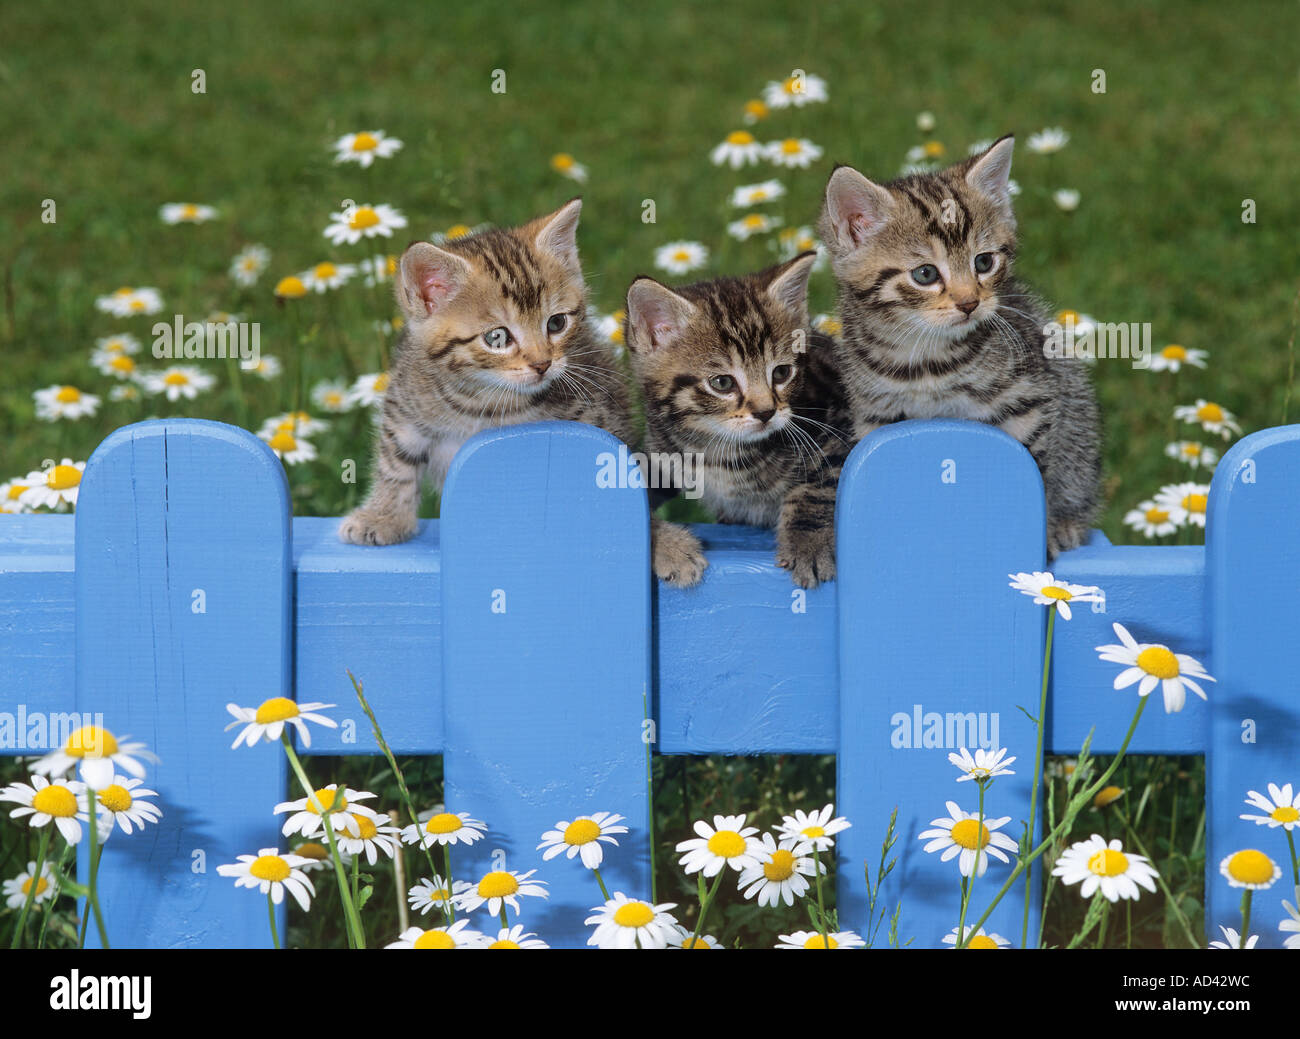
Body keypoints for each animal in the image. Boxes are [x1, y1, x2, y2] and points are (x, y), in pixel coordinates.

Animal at [340, 197, 707, 585]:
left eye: (557, 323)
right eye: (497, 337)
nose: (542, 364)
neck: (481, 401)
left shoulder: (595, 417)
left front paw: (662, 542)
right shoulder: (406, 399)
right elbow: (396, 461)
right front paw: (383, 517)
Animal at [626, 253, 852, 590]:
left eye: (781, 373)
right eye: (722, 383)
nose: (766, 412)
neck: (717, 452)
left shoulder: (844, 424)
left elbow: (819, 486)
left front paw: (808, 545)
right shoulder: (661, 454)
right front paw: (671, 547)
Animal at [821, 140, 1097, 561]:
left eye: (984, 262)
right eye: (925, 274)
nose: (970, 303)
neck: (924, 362)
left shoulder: (1030, 400)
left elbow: (1035, 472)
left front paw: (1045, 530)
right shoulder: (874, 415)